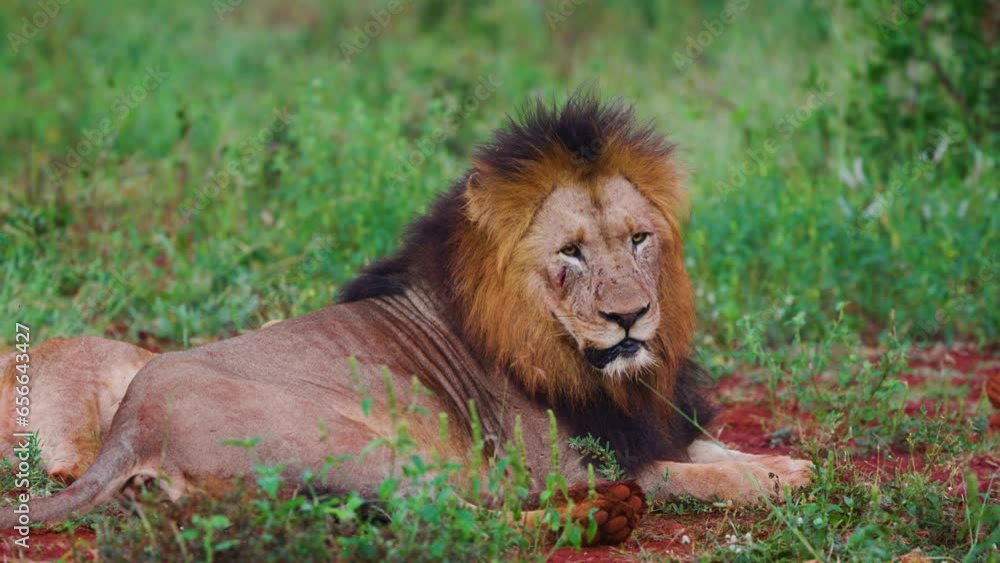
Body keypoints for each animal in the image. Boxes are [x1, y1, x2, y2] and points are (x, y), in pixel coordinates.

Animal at [0, 94, 812, 544]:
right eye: (571, 253)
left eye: (639, 238)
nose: (630, 318)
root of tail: (133, 420)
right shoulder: (564, 458)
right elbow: (684, 476)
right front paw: (769, 483)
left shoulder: (642, 422)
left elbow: (705, 448)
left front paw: (783, 464)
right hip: (381, 453)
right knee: (458, 519)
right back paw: (596, 521)